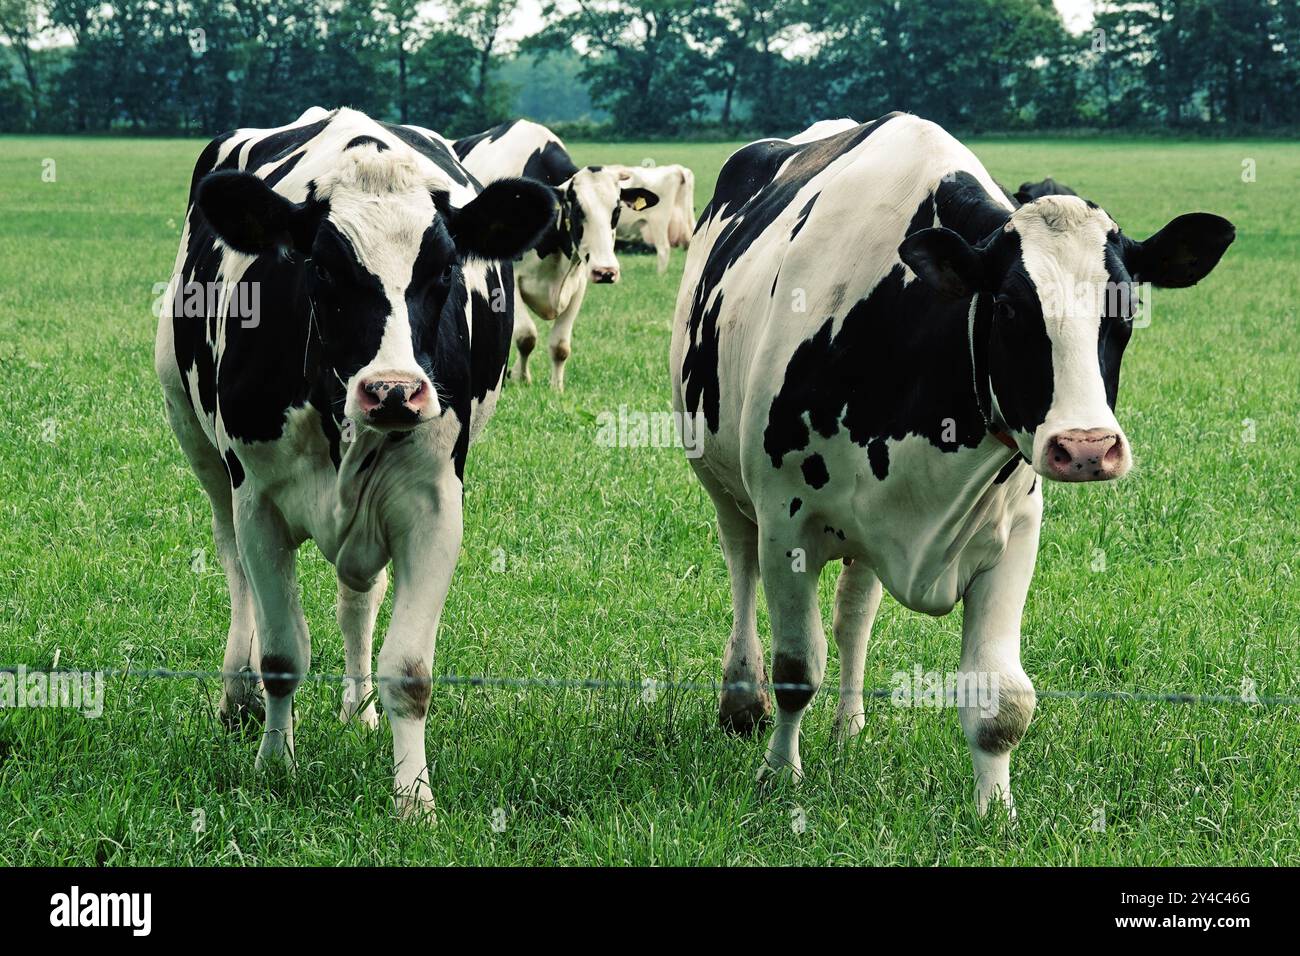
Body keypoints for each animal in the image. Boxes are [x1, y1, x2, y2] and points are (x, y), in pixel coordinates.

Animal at [155, 106, 555, 818]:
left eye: (444, 273)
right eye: (322, 269)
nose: (393, 390)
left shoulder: (434, 510)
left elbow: (411, 671)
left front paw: (414, 798)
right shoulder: (259, 501)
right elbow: (281, 652)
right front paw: (274, 768)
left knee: (358, 598)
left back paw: (358, 708)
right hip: (198, 444)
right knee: (234, 569)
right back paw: (235, 697)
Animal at [454, 119, 658, 390]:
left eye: (616, 211)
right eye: (578, 209)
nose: (606, 271)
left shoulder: (579, 282)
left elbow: (560, 345)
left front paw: (556, 387)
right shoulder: (510, 282)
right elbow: (526, 336)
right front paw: (521, 378)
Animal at [670, 112, 1234, 815]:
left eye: (1126, 309)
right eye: (1010, 307)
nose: (1085, 448)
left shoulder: (1012, 535)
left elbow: (1002, 699)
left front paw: (997, 813)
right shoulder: (786, 524)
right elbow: (797, 667)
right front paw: (779, 777)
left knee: (855, 612)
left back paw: (849, 727)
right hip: (723, 483)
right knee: (741, 568)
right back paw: (743, 702)